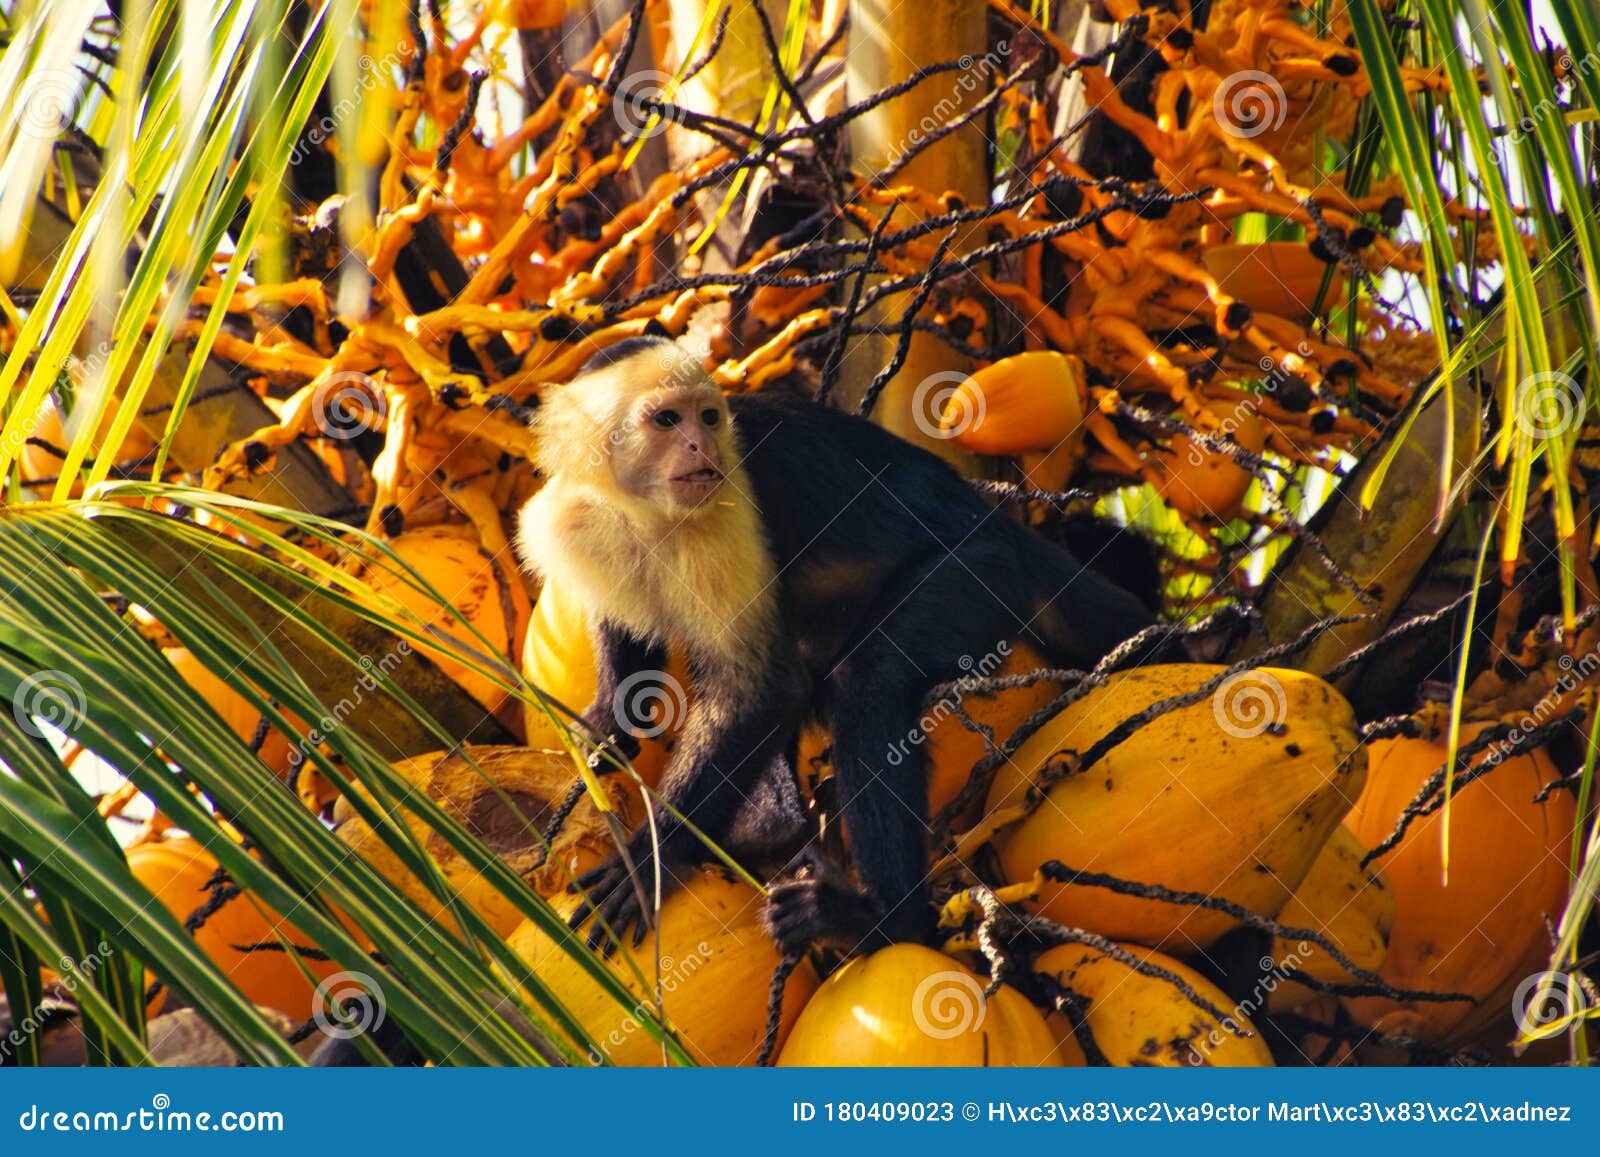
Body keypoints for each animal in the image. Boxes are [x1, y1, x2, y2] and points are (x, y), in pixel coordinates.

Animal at [516, 335, 1157, 955]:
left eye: (709, 418)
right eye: (668, 420)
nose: (703, 447)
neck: (644, 509)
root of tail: (1002, 525)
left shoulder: (723, 515)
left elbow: (763, 688)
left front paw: (656, 856)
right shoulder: (574, 515)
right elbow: (626, 625)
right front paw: (611, 721)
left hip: (979, 571)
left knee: (868, 682)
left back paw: (880, 920)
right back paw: (773, 829)